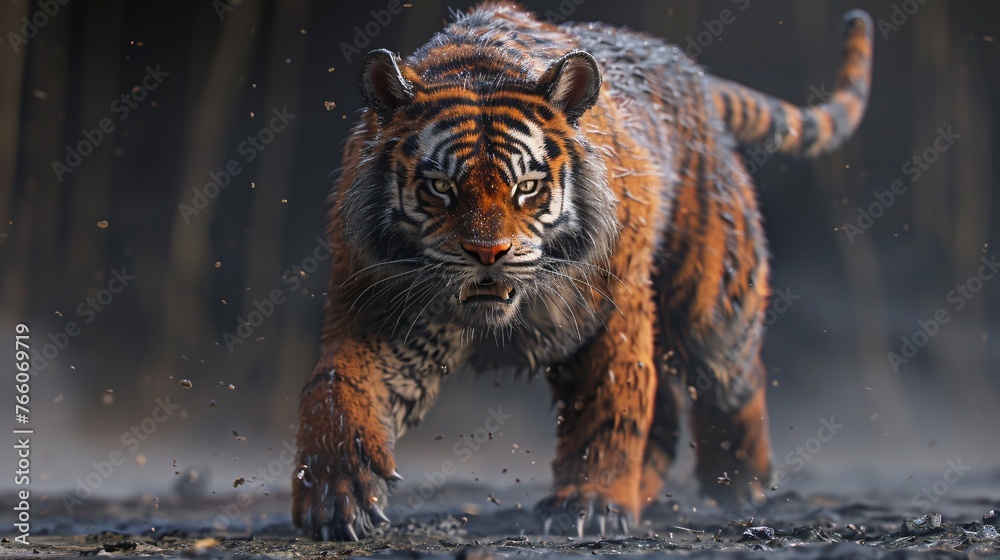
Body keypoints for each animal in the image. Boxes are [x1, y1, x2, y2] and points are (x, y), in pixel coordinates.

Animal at [293, 1, 873, 541]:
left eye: (526, 187)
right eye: (440, 187)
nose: (488, 253)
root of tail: (688, 70)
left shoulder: (612, 311)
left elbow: (610, 404)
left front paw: (590, 505)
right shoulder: (378, 309)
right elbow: (336, 389)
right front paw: (334, 497)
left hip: (710, 302)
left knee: (731, 377)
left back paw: (737, 485)